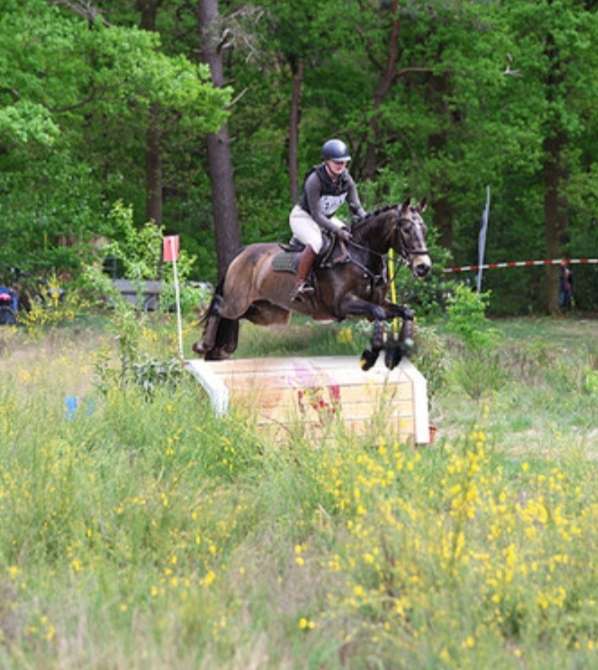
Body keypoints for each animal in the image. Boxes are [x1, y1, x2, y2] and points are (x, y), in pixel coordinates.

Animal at [193, 200, 431, 370]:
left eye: (424, 229)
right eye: (406, 229)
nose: (423, 267)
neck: (360, 253)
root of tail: (240, 255)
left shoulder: (378, 303)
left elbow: (405, 312)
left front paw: (402, 349)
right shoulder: (342, 304)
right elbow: (379, 313)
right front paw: (371, 355)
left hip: (265, 312)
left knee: (232, 317)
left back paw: (220, 351)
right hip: (238, 302)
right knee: (218, 307)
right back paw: (204, 345)